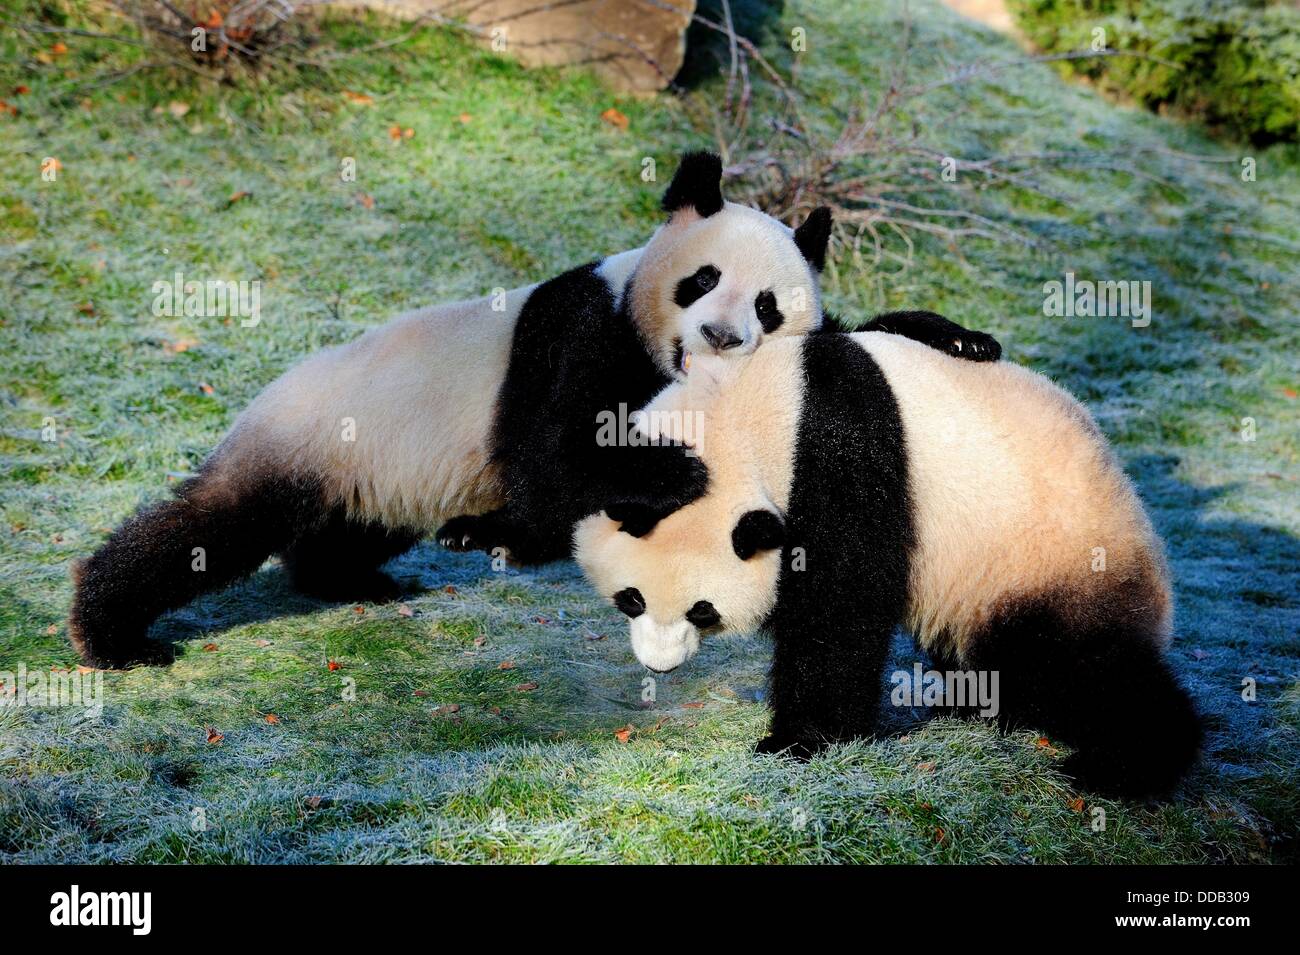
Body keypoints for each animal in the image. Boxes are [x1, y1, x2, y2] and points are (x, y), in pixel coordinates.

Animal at [67, 151, 999, 670]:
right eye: (702, 281)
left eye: (769, 306)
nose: (724, 335)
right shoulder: (584, 329)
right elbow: (556, 455)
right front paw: (674, 469)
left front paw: (960, 340)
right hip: (312, 436)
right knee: (212, 526)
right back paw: (110, 631)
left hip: (377, 473)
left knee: (343, 533)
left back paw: (363, 575)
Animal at [574, 331, 1203, 798]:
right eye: (631, 598)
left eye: (702, 611)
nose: (659, 667)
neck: (745, 413)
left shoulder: (839, 461)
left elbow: (841, 608)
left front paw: (796, 743)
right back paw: (972, 707)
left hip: (1045, 558)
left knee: (1076, 665)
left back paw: (1122, 762)